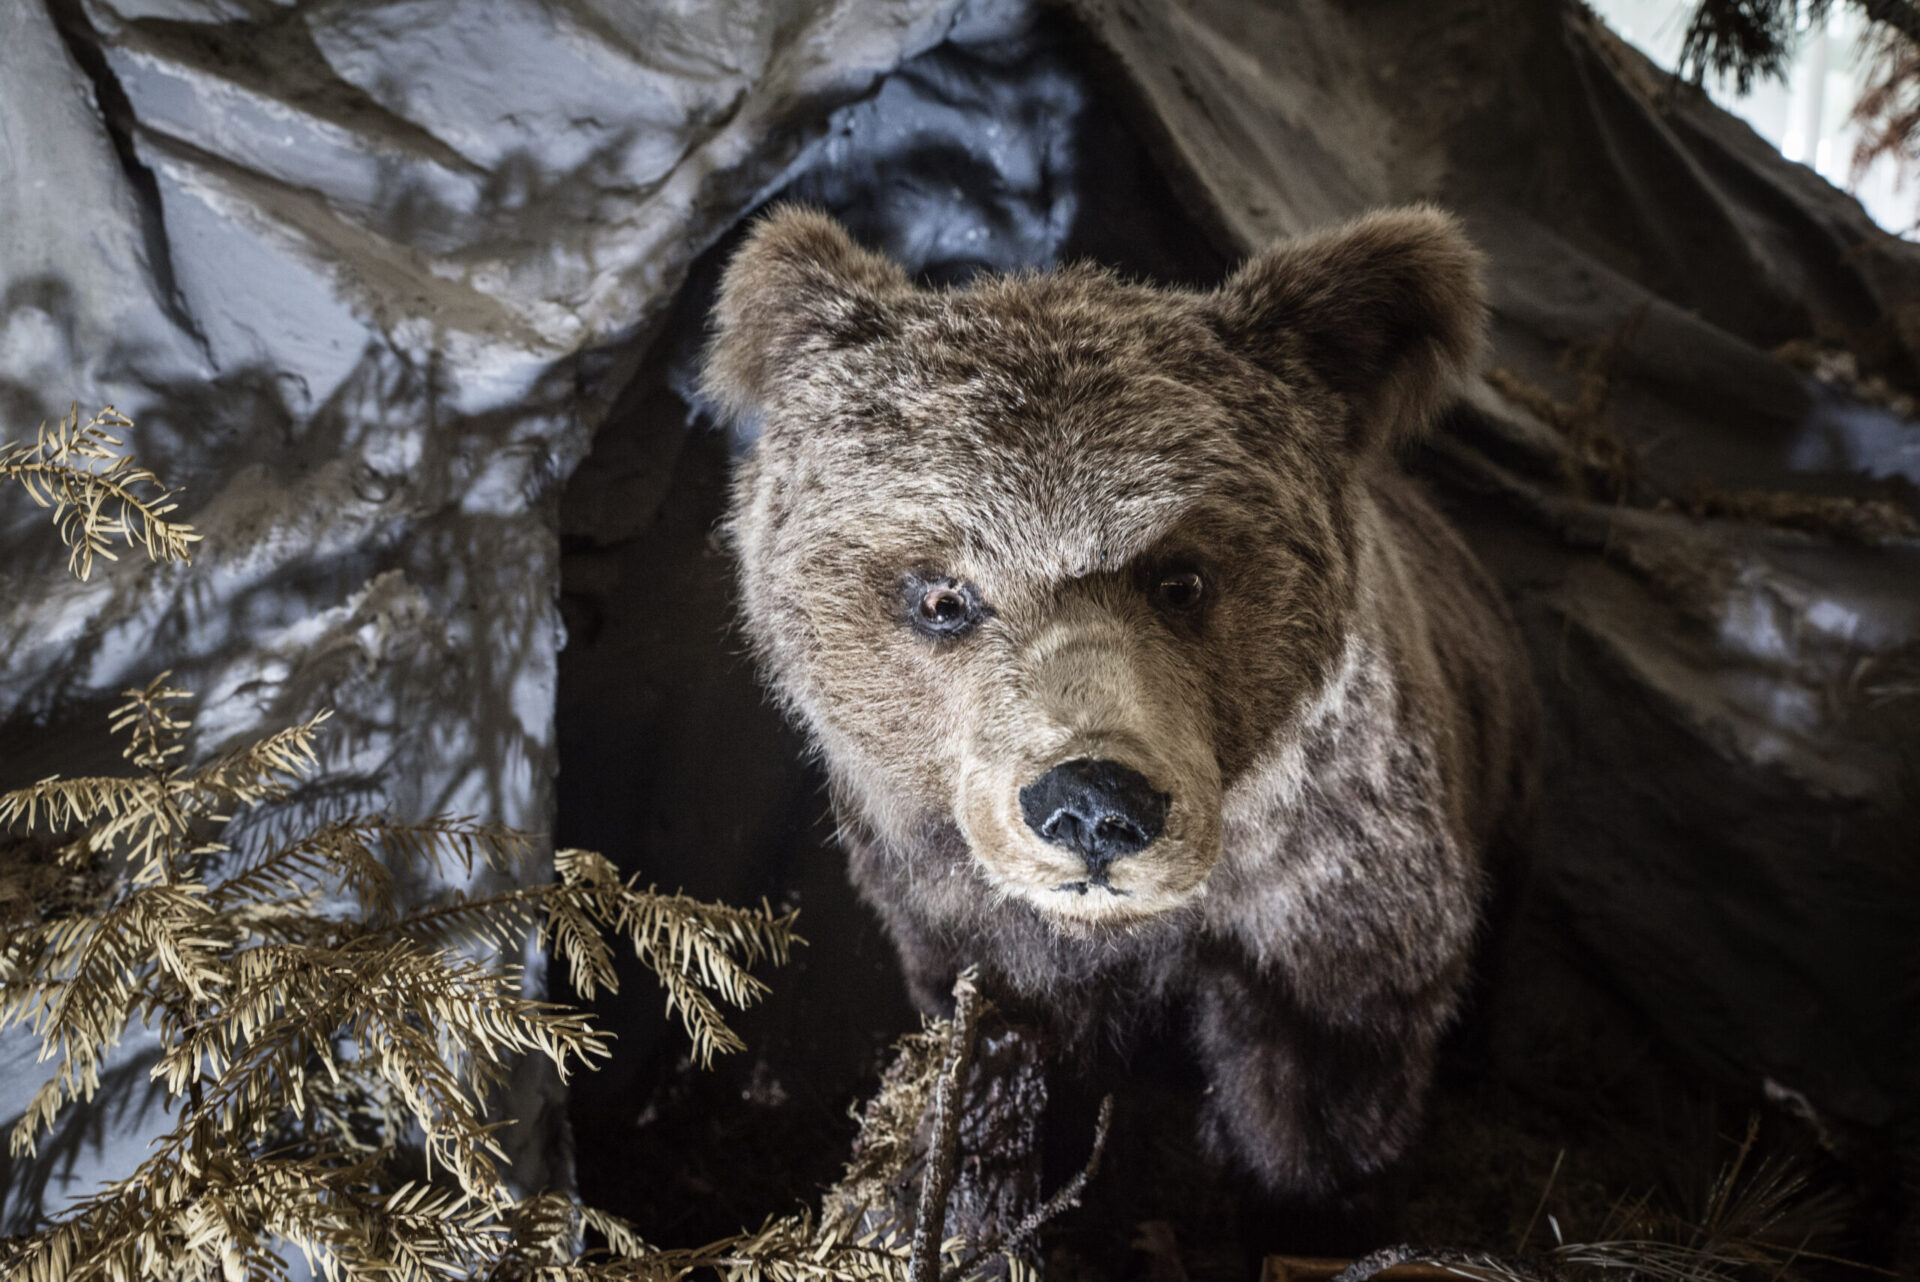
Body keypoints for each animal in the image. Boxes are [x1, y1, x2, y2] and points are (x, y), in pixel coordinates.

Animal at [701, 204, 1537, 1202]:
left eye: (1182, 579)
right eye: (943, 598)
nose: (1095, 803)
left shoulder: (1337, 892)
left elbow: (1325, 1087)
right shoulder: (954, 912)